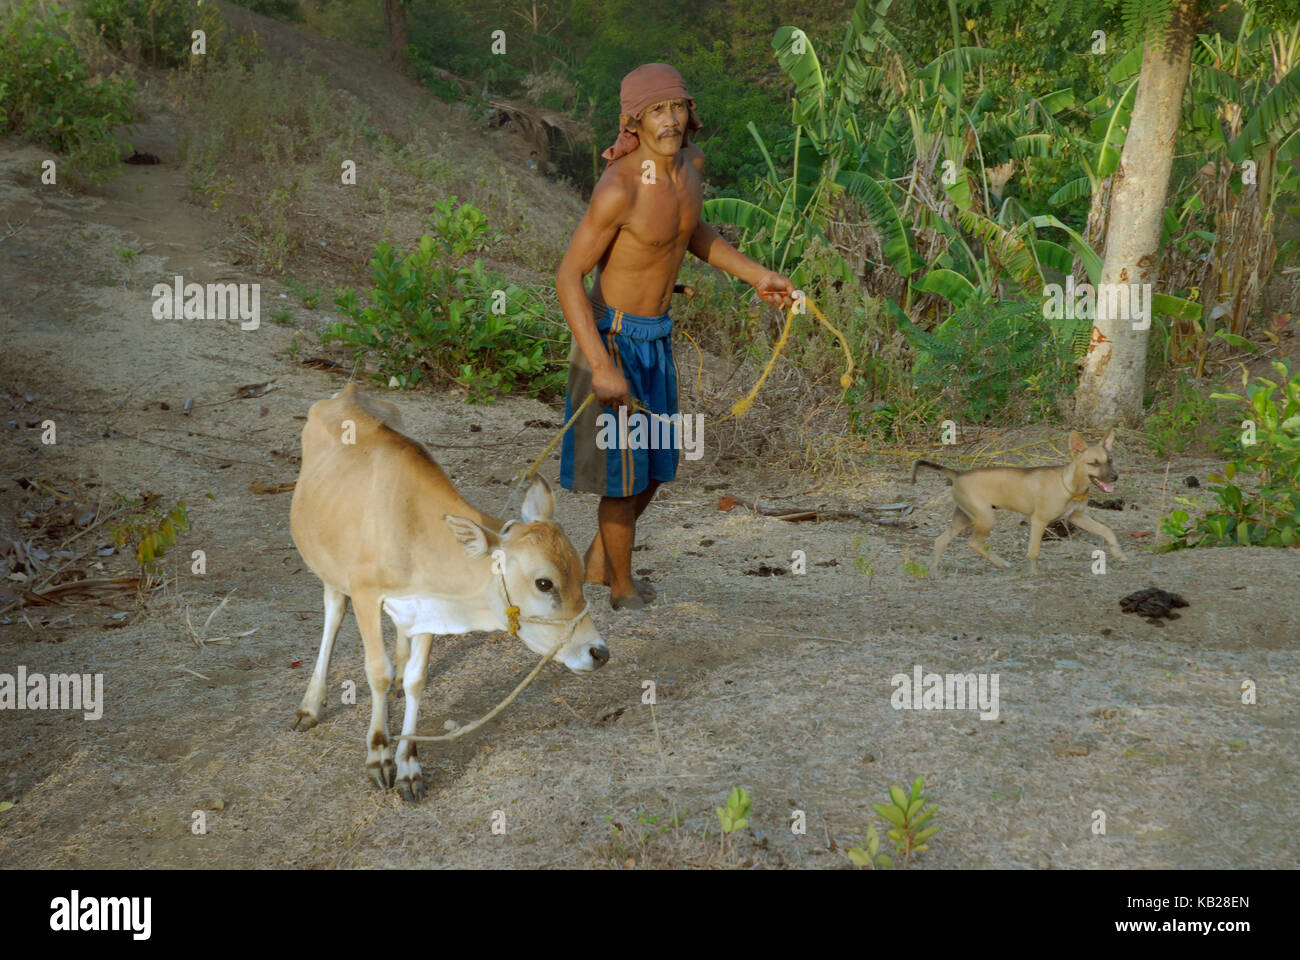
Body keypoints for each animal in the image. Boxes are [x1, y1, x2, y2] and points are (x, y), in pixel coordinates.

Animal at [289, 383, 608, 802]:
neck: (413, 532)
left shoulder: (429, 607)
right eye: (545, 583)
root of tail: (349, 390)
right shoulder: (365, 593)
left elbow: (415, 678)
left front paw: (408, 764)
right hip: (329, 567)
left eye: (582, 575)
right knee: (333, 613)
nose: (599, 653)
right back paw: (312, 705)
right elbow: (377, 671)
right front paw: (379, 754)